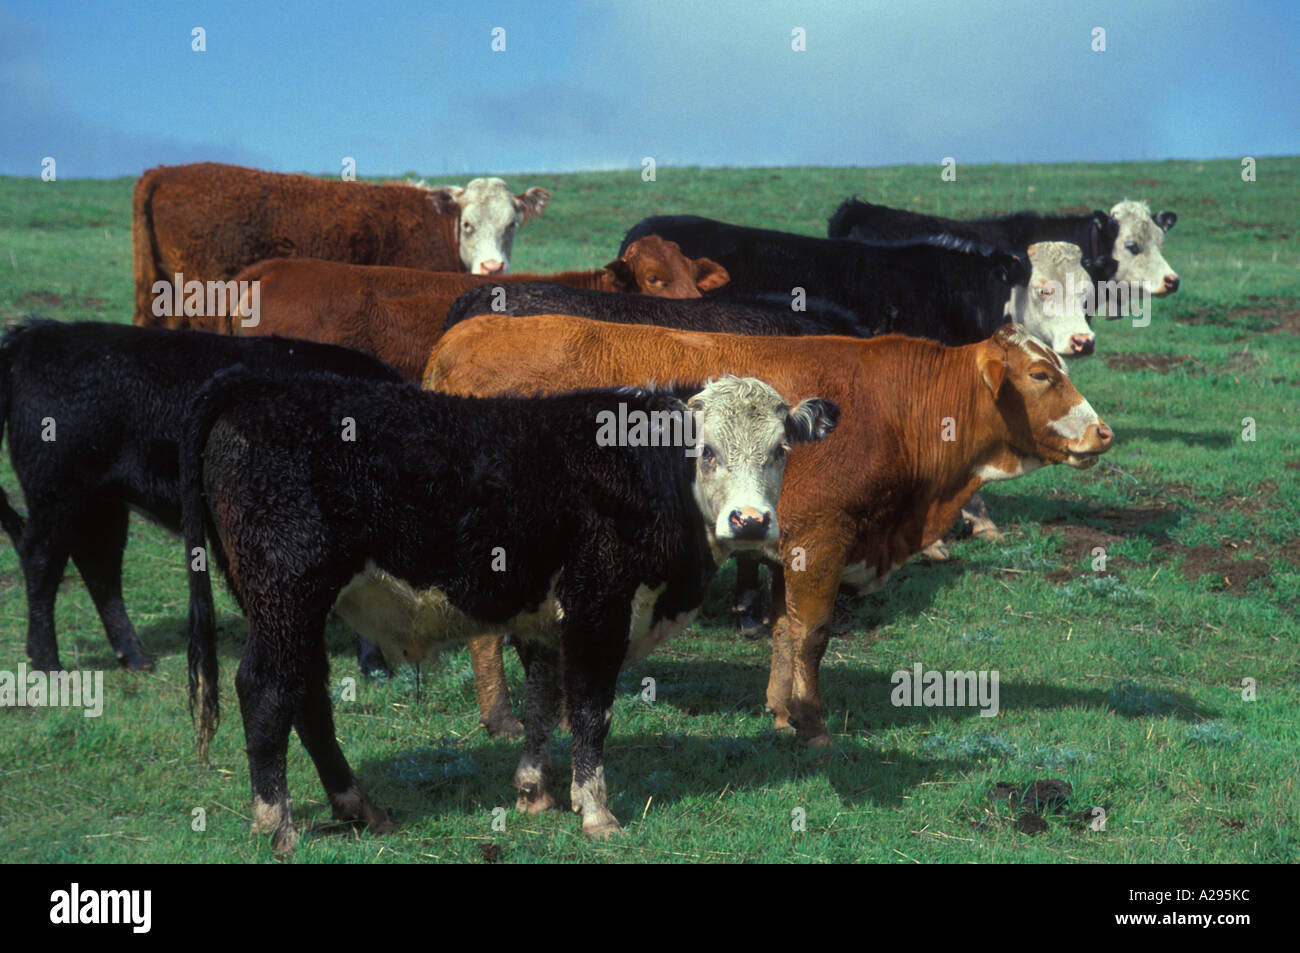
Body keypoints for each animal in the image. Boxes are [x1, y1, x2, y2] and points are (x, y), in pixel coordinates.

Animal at [0, 319, 402, 674]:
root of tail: (35, 334)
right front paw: (374, 664)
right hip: (56, 495)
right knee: (42, 561)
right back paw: (47, 662)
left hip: (102, 501)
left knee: (100, 568)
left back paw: (134, 656)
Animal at [180, 370, 838, 851]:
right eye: (706, 449)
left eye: (780, 449)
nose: (750, 521)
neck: (641, 468)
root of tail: (249, 392)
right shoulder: (599, 608)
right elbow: (591, 712)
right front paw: (595, 811)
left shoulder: (547, 620)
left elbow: (543, 703)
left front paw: (532, 792)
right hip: (286, 595)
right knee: (266, 690)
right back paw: (277, 826)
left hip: (297, 609)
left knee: (307, 696)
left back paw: (358, 806)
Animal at [425, 316, 1114, 746]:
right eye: (1042, 376)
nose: (1102, 433)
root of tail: (466, 334)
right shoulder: (823, 540)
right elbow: (813, 636)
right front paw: (812, 724)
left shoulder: (790, 545)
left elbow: (785, 633)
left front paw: (781, 713)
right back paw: (502, 719)